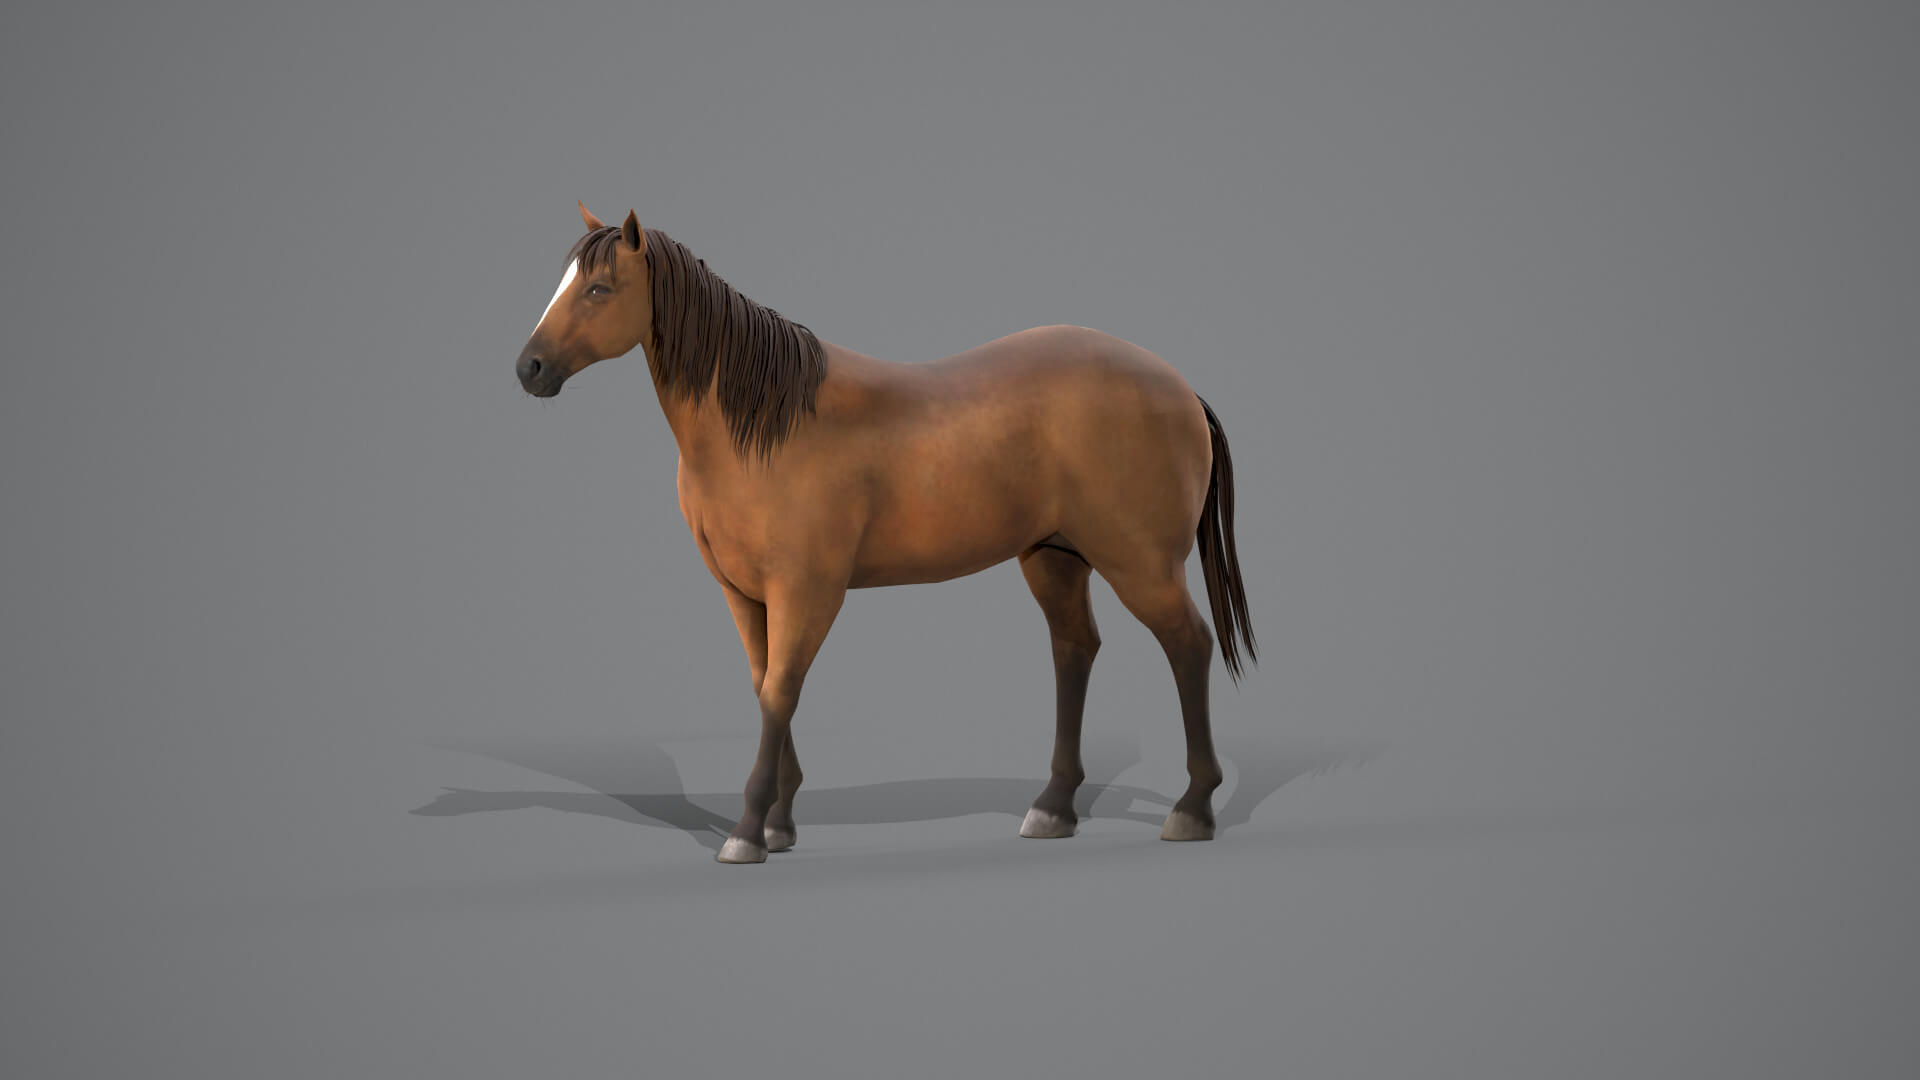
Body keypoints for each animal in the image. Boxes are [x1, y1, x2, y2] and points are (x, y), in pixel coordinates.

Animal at [514, 202, 1257, 863]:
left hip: (1140, 564)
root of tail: (1179, 388)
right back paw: (1053, 807)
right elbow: (763, 686)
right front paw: (780, 822)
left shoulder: (807, 592)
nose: (529, 368)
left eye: (600, 288)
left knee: (1188, 645)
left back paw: (1192, 808)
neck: (765, 426)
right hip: (1055, 557)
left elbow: (781, 690)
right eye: (565, 281)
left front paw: (748, 833)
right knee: (1075, 649)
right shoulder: (742, 594)